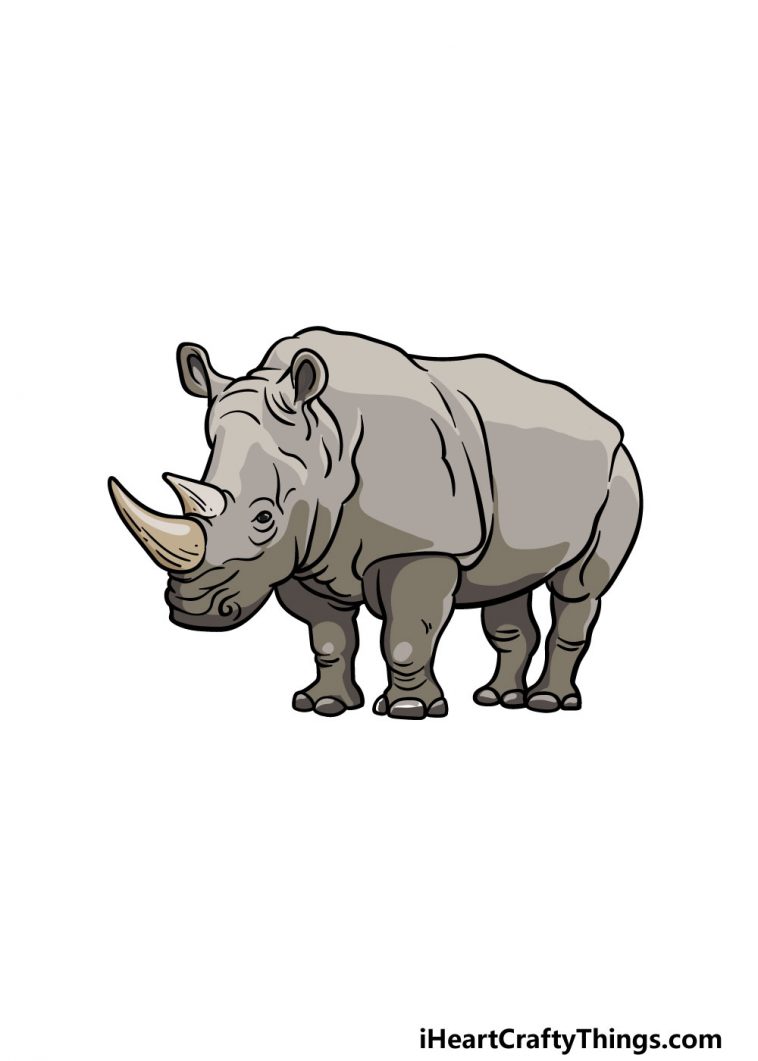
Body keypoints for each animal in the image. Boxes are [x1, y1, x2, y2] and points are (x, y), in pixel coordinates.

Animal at [109, 327, 642, 719]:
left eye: (263, 518)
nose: (190, 612)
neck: (324, 441)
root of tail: (604, 419)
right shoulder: (305, 553)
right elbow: (328, 636)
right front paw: (323, 705)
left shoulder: (422, 546)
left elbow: (407, 634)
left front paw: (409, 711)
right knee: (508, 587)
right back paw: (496, 699)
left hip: (619, 470)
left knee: (578, 587)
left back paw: (549, 702)